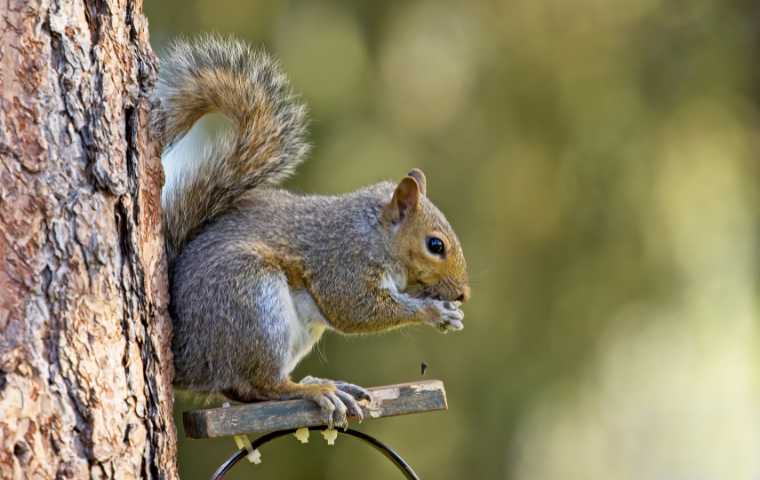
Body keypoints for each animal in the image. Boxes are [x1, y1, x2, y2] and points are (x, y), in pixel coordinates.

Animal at [152, 35, 470, 428]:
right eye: (435, 245)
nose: (463, 295)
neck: (374, 235)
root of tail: (188, 357)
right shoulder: (342, 263)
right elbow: (355, 310)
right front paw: (433, 312)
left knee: (243, 390)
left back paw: (319, 383)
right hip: (251, 302)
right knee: (263, 384)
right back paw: (314, 390)